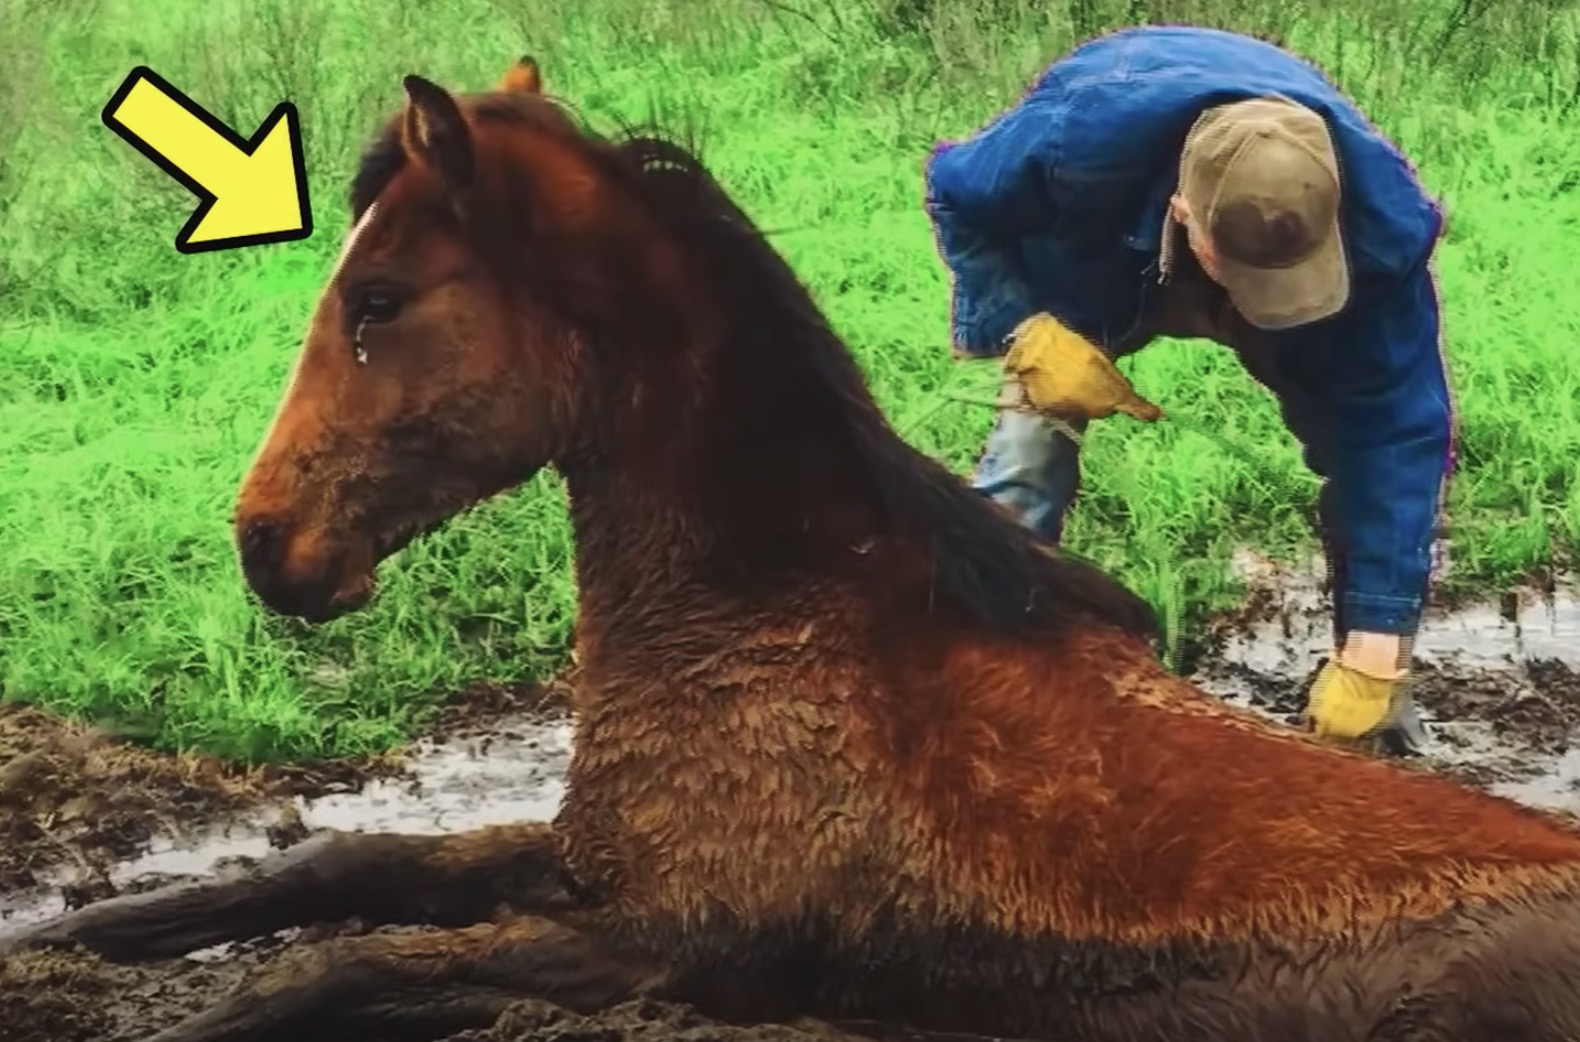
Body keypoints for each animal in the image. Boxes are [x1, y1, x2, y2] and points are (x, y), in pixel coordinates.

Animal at [11, 57, 1580, 1042]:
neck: (779, 621)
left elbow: (327, 977)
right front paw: (71, 942)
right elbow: (331, 873)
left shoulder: (656, 942)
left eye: (381, 297)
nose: (269, 544)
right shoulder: (583, 860)